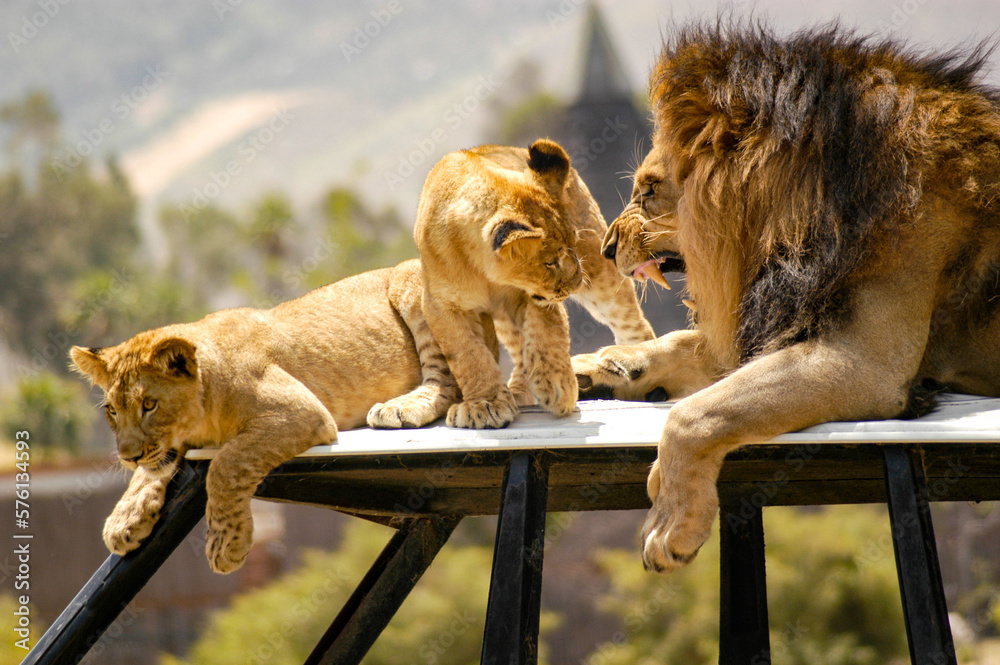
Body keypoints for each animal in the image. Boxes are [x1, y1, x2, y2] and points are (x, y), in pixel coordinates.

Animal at [416, 139, 654, 428]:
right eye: (550, 262)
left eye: (573, 243)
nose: (576, 284)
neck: (485, 273)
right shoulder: (440, 305)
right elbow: (468, 355)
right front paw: (485, 404)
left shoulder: (535, 297)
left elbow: (547, 333)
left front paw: (558, 385)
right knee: (518, 351)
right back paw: (519, 391)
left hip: (604, 276)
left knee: (634, 326)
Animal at [573, 22, 1000, 573]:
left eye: (648, 191)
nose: (605, 249)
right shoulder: (777, 317)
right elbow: (683, 346)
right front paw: (602, 366)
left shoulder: (858, 362)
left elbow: (693, 413)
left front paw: (670, 520)